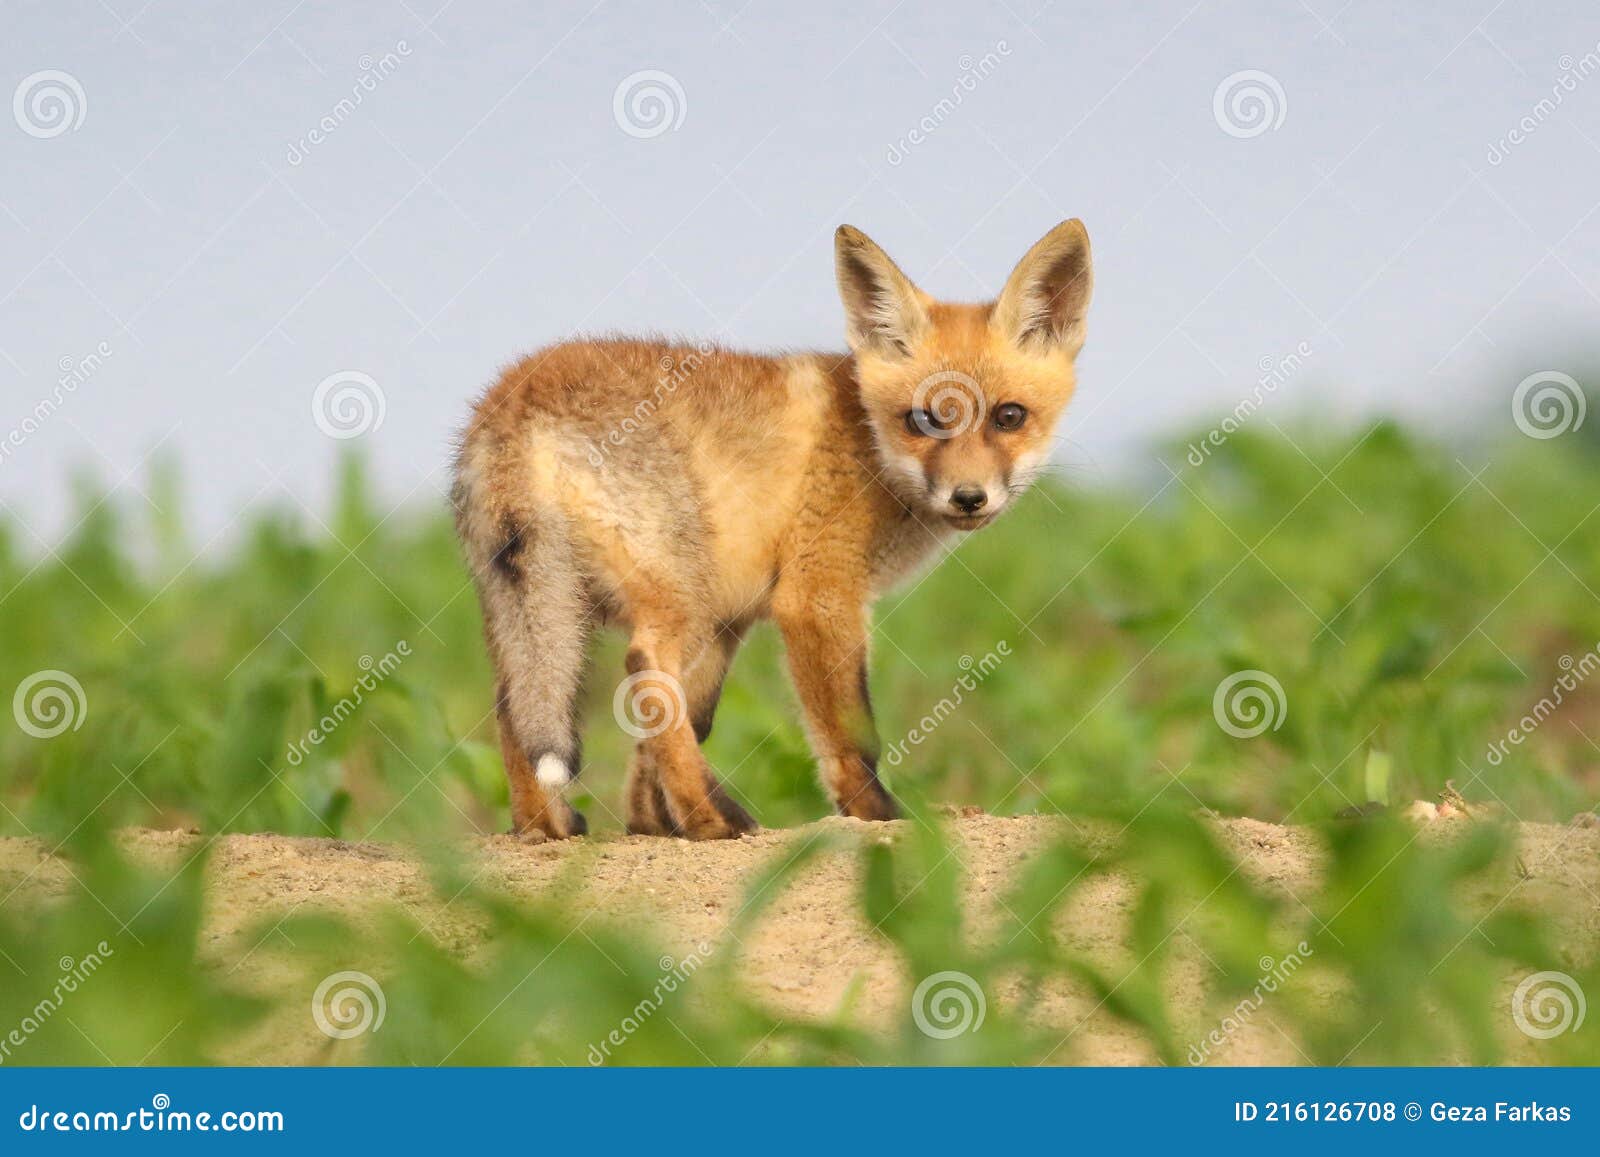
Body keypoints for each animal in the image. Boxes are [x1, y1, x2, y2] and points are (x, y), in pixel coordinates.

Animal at [451, 219, 1093, 840]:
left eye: (1009, 417)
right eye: (925, 420)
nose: (968, 498)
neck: (868, 443)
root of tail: (515, 397)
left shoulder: (730, 621)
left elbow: (683, 728)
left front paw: (652, 824)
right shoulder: (815, 597)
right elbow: (852, 739)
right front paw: (879, 817)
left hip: (533, 610)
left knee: (513, 707)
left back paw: (546, 828)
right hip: (673, 595)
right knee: (644, 671)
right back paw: (714, 820)